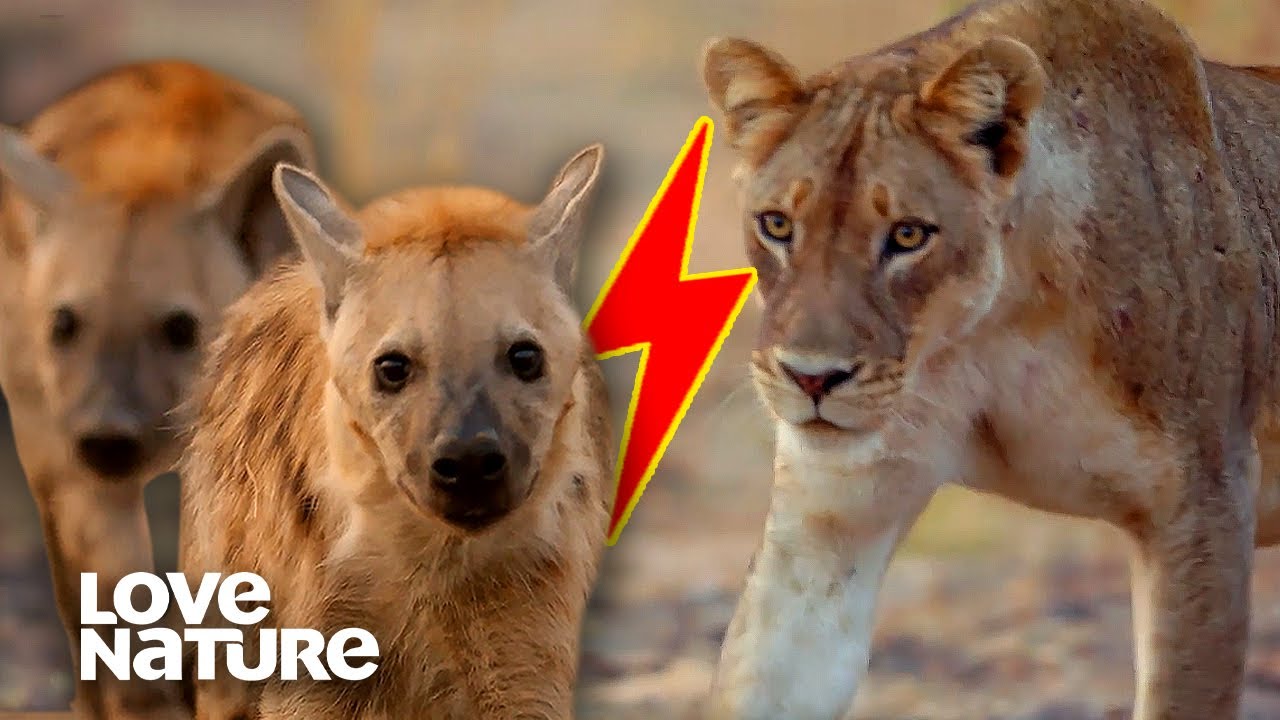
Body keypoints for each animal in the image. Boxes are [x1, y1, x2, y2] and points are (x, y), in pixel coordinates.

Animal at [178, 146, 613, 719]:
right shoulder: (310, 660)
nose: (469, 459)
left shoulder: (526, 640)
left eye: (525, 356)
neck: (430, 564)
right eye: (392, 366)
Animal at [699, 0, 1280, 717]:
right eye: (777, 225)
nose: (812, 378)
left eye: (908, 235)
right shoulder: (830, 518)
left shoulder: (1205, 505)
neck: (991, 327)